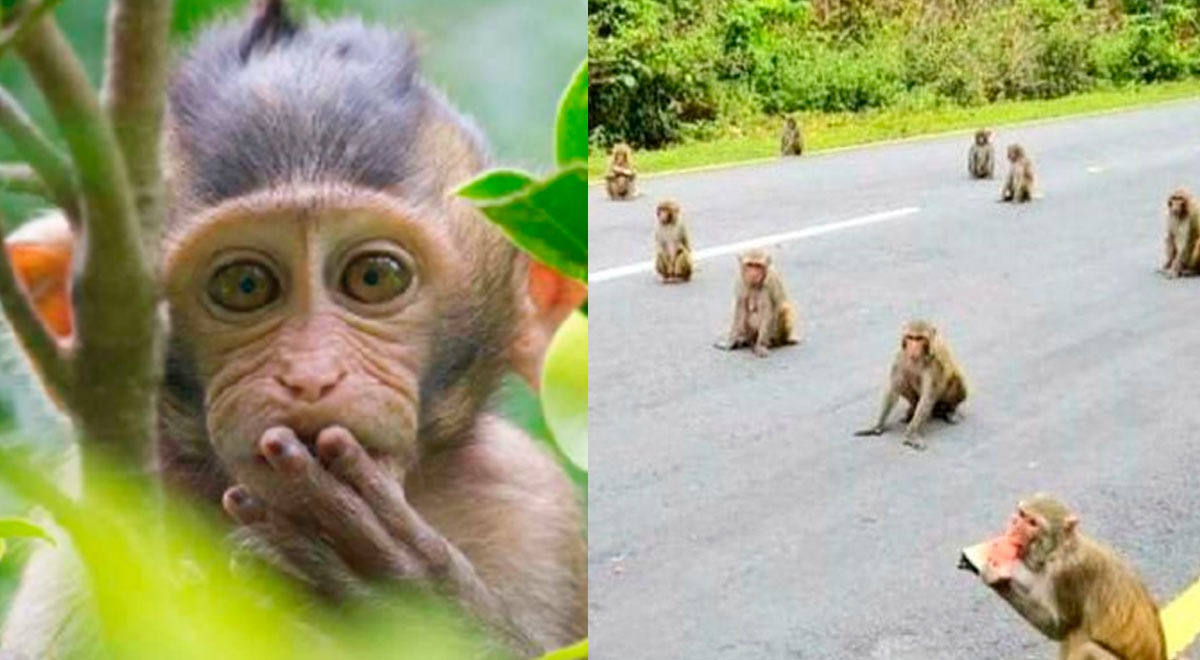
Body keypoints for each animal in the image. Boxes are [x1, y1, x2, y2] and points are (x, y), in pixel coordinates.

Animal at [0, 2, 587, 657]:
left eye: (374, 277)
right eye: (245, 285)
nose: (310, 376)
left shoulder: (531, 507)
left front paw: (398, 594)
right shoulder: (82, 561)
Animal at [854, 319, 966, 450]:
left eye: (919, 338)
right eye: (910, 337)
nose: (913, 347)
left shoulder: (934, 363)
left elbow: (927, 397)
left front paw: (911, 435)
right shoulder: (899, 357)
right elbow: (893, 389)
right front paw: (877, 426)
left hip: (942, 402)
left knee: (957, 381)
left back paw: (950, 411)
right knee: (904, 380)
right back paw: (911, 410)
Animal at [977, 494, 1167, 660]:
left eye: (1032, 523)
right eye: (1022, 514)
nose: (1015, 525)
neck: (1059, 550)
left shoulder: (1068, 574)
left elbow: (1059, 628)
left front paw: (995, 578)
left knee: (1084, 644)